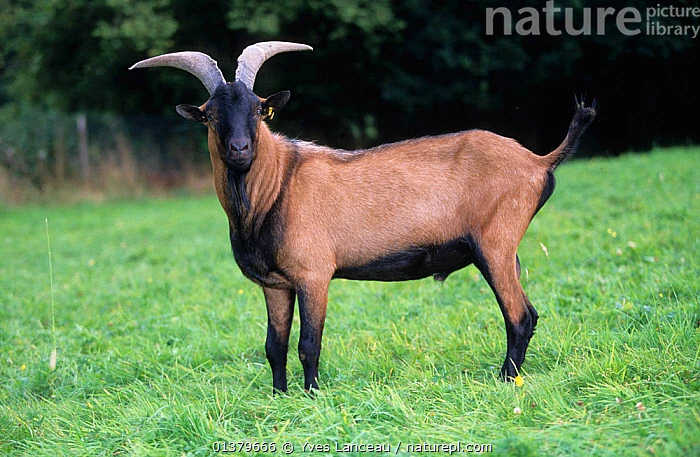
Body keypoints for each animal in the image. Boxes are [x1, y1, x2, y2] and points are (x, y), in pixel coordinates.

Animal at [130, 41, 596, 393]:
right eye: (210, 115)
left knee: (519, 316)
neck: (275, 187)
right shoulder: (275, 284)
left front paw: (311, 397)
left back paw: (504, 380)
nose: (240, 149)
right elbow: (273, 346)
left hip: (495, 244)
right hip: (507, 252)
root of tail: (538, 161)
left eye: (261, 110)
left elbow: (308, 344)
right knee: (529, 313)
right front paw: (279, 397)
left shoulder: (314, 274)